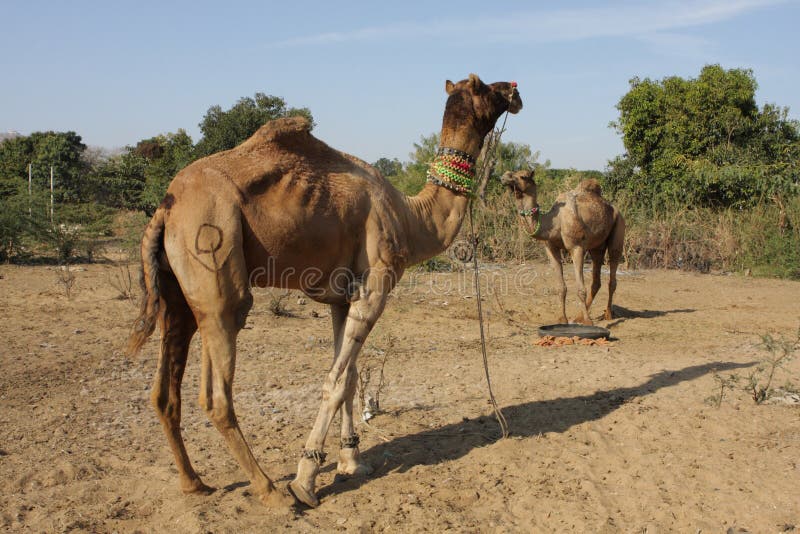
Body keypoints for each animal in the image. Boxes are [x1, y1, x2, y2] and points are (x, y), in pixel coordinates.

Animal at [127, 74, 522, 509]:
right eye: (484, 86)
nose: (515, 90)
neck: (411, 217)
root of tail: (166, 208)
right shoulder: (375, 285)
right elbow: (335, 381)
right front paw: (306, 479)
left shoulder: (341, 296)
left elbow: (349, 376)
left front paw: (352, 462)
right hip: (215, 262)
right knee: (217, 390)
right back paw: (271, 491)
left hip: (178, 294)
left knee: (165, 389)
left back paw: (194, 482)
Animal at [501, 170, 625, 325]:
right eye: (511, 173)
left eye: (523, 176)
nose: (504, 176)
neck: (554, 222)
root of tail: (614, 208)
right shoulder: (551, 248)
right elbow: (561, 287)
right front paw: (563, 319)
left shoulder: (576, 247)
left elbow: (580, 289)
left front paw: (588, 321)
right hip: (597, 247)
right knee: (596, 279)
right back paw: (579, 316)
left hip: (619, 226)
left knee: (613, 272)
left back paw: (607, 315)